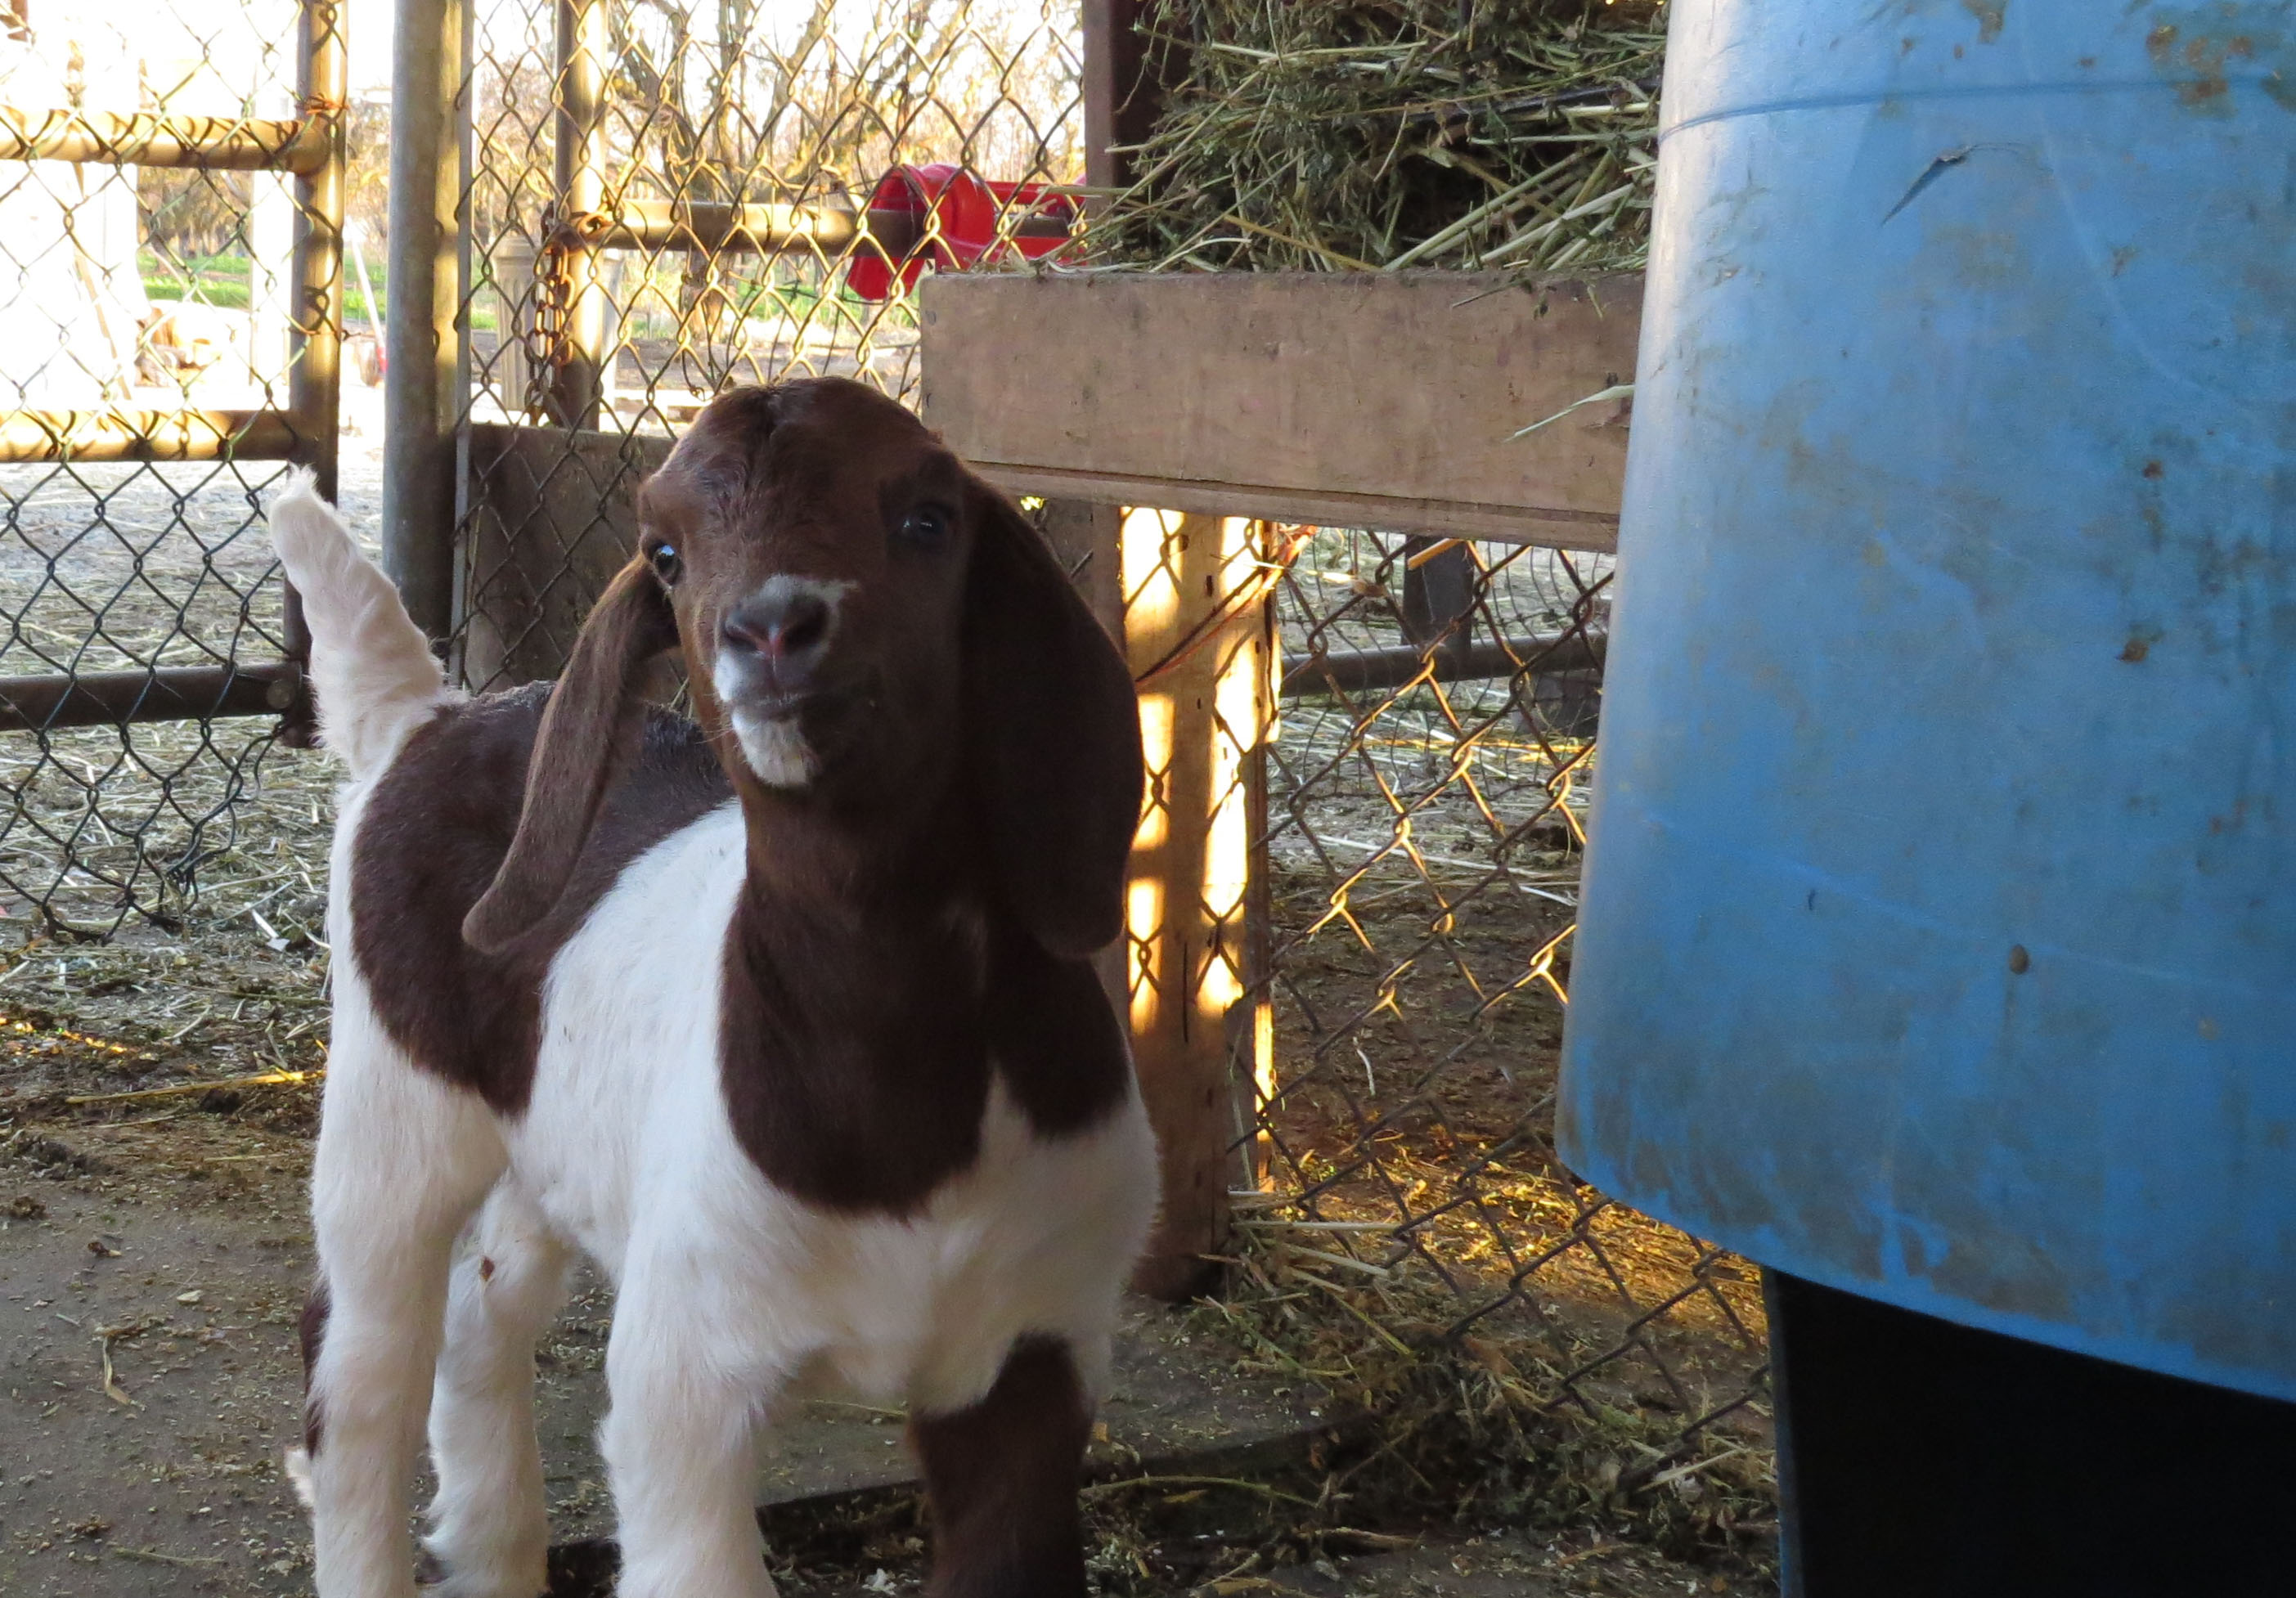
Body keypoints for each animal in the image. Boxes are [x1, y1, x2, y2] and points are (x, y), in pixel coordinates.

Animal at [268, 377, 1157, 1598]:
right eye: (666, 553)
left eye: (927, 518)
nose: (772, 627)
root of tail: (426, 718)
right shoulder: (683, 1384)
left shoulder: (1034, 1351)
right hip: (389, 1102)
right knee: (357, 1367)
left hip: (549, 1136)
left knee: (482, 1305)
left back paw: (496, 1548)